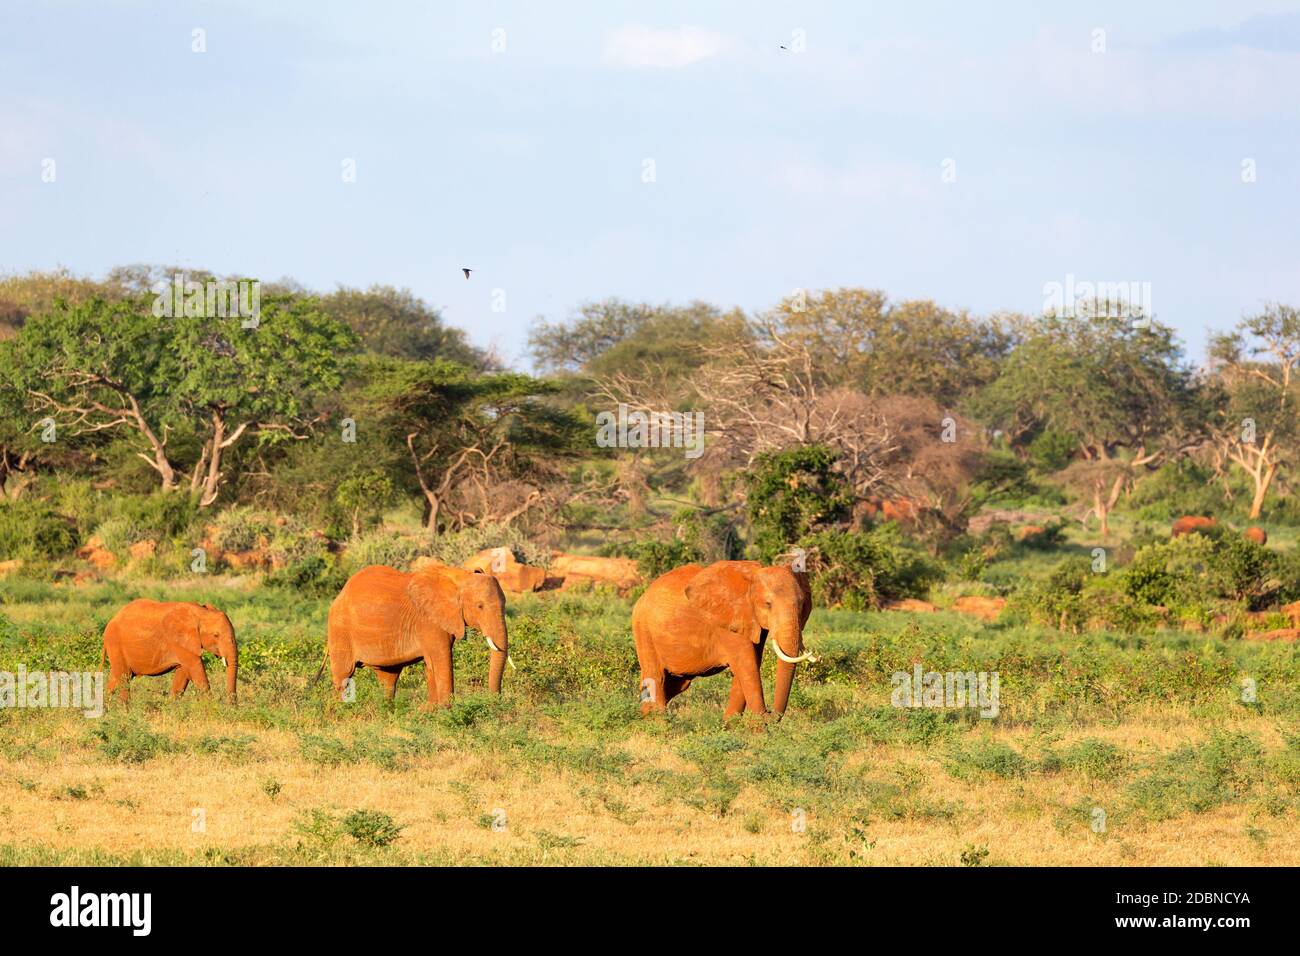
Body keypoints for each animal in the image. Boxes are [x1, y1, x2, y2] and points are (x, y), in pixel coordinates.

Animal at [100, 599, 238, 703]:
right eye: (216, 635)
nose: (232, 707)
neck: (201, 613)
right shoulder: (180, 642)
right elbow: (195, 669)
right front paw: (211, 709)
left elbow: (182, 674)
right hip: (115, 644)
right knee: (125, 678)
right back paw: (125, 712)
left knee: (114, 678)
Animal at [325, 562, 510, 707]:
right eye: (480, 606)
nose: (494, 702)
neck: (459, 577)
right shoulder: (428, 622)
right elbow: (441, 660)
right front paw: (446, 710)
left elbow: (432, 664)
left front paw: (431, 711)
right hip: (340, 629)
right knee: (343, 675)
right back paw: (340, 711)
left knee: (388, 679)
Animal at [631, 560, 813, 718]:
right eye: (768, 604)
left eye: (803, 604)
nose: (770, 712)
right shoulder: (728, 623)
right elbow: (746, 664)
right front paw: (760, 728)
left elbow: (752, 662)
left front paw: (730, 726)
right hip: (643, 629)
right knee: (656, 677)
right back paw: (659, 723)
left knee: (675, 684)